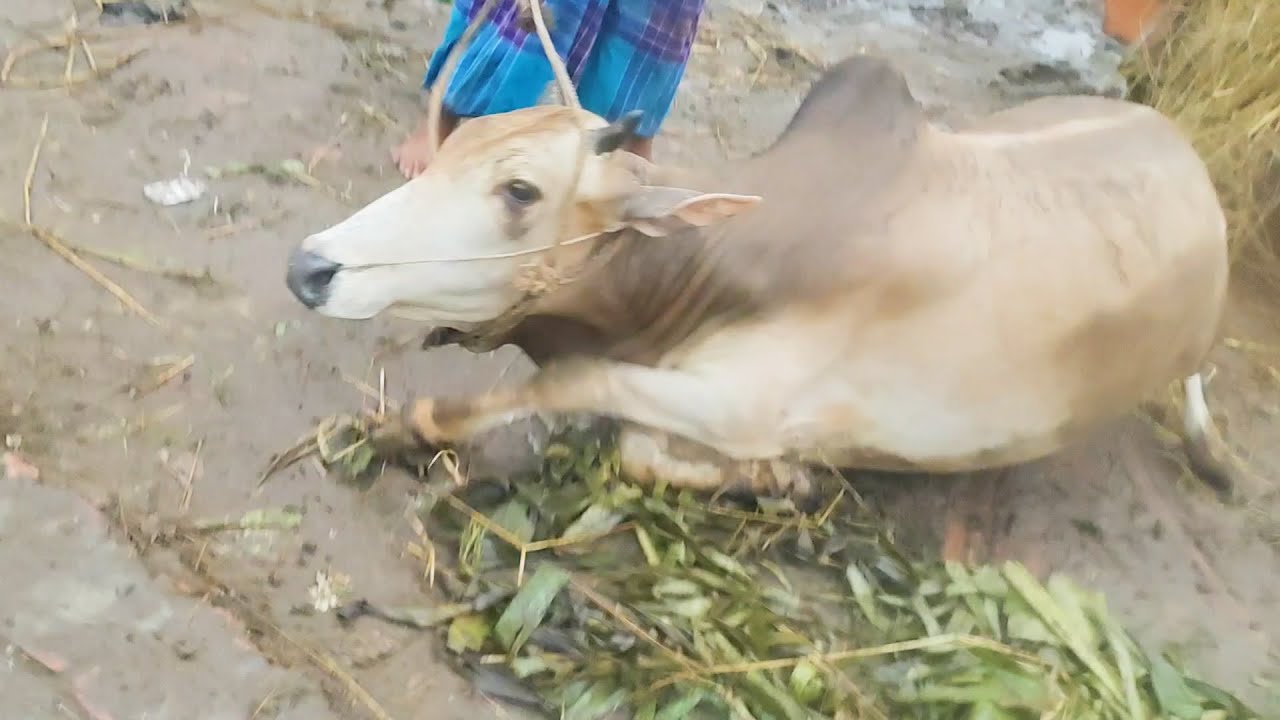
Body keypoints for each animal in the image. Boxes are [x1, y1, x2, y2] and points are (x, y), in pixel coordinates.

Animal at [285, 54, 1237, 551]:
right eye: (461, 140)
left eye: (521, 190)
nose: (310, 266)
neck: (715, 263)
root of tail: (1184, 149)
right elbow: (631, 439)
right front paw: (786, 478)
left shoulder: (742, 403)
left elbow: (581, 389)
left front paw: (410, 425)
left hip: (1196, 337)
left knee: (1199, 373)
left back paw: (1211, 451)